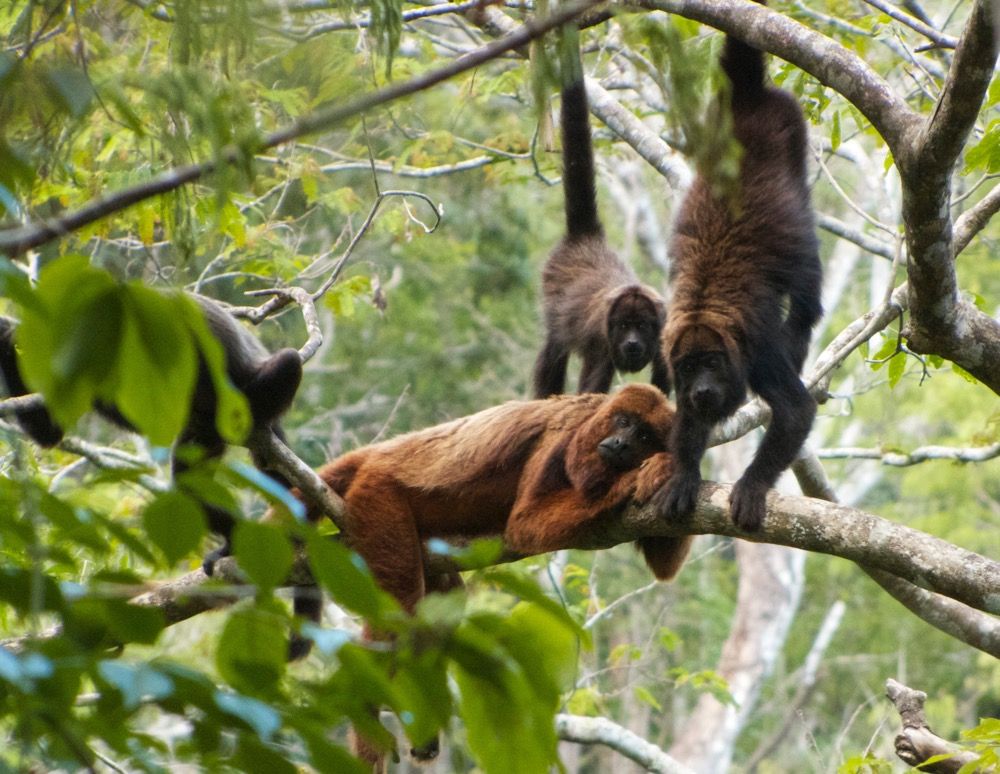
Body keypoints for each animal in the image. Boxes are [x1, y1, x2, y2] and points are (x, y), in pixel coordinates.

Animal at [0, 294, 303, 569]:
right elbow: (49, 433)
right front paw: (7, 336)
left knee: (288, 361)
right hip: (201, 440)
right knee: (191, 490)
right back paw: (234, 541)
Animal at [289, 384, 691, 768]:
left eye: (644, 436)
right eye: (624, 422)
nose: (622, 443)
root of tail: (375, 453)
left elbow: (663, 563)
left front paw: (667, 469)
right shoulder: (564, 436)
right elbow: (526, 523)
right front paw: (636, 478)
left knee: (438, 611)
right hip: (378, 495)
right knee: (399, 612)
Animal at [532, 31, 669, 399]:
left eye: (642, 326)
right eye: (623, 326)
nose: (633, 343)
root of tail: (586, 237)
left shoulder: (667, 332)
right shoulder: (601, 341)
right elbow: (590, 392)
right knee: (554, 348)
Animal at [653, 0, 823, 532]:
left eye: (712, 363)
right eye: (689, 368)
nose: (704, 388)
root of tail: (745, 99)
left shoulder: (757, 347)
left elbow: (796, 410)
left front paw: (751, 485)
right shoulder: (668, 350)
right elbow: (686, 420)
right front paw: (685, 474)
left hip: (791, 126)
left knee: (805, 279)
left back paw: (801, 329)